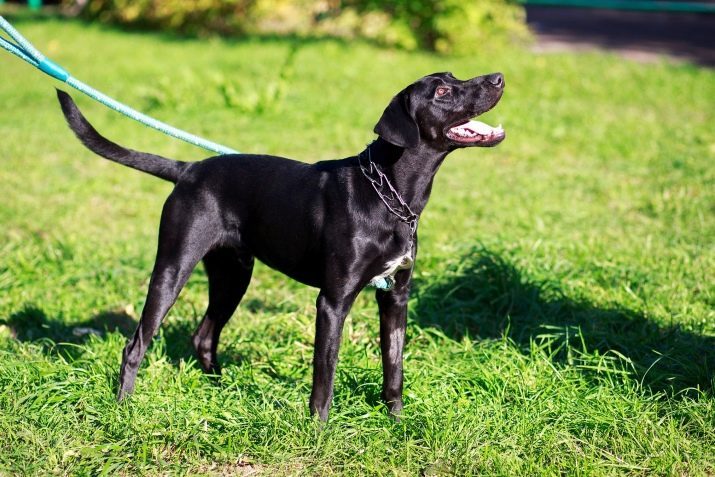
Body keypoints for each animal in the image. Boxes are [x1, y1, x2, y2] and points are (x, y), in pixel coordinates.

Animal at [56, 71, 506, 420]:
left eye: (454, 77)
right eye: (442, 91)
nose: (498, 78)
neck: (390, 194)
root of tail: (188, 170)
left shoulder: (397, 296)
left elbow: (393, 367)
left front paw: (396, 422)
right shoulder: (333, 301)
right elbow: (324, 375)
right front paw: (319, 430)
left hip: (234, 274)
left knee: (204, 335)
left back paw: (220, 390)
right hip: (173, 267)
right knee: (136, 343)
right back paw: (124, 406)